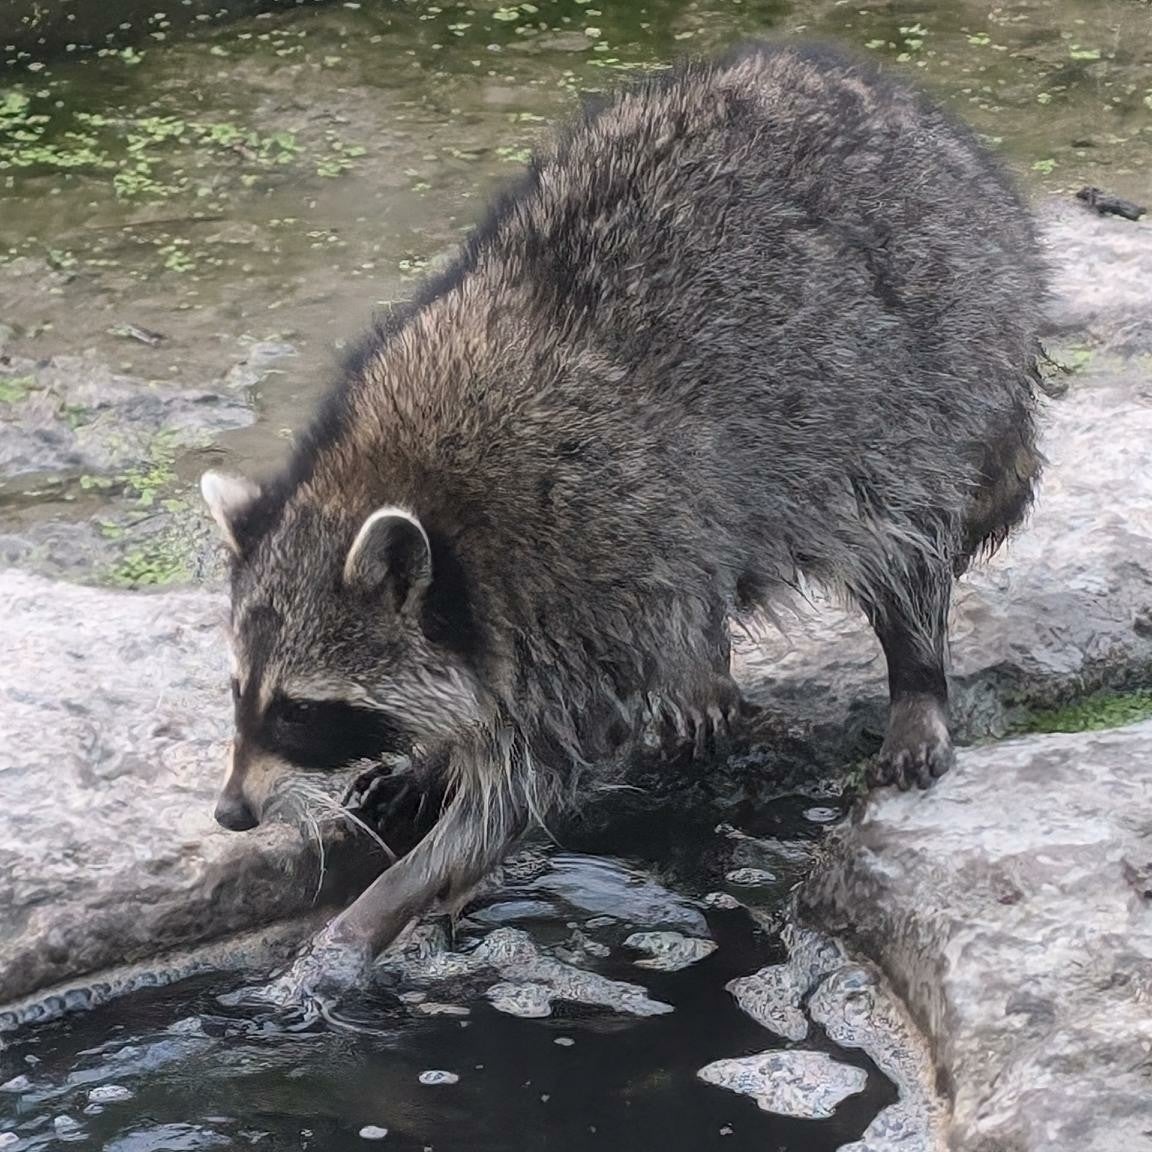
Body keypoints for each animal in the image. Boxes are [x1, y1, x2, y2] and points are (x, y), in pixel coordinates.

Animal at [202, 40, 1045, 982]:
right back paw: (705, 668)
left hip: (927, 377)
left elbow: (528, 785)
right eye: (239, 689)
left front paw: (369, 916)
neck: (410, 484)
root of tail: (949, 146)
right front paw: (433, 755)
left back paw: (914, 675)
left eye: (298, 709)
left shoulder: (577, 573)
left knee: (901, 544)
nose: (232, 813)